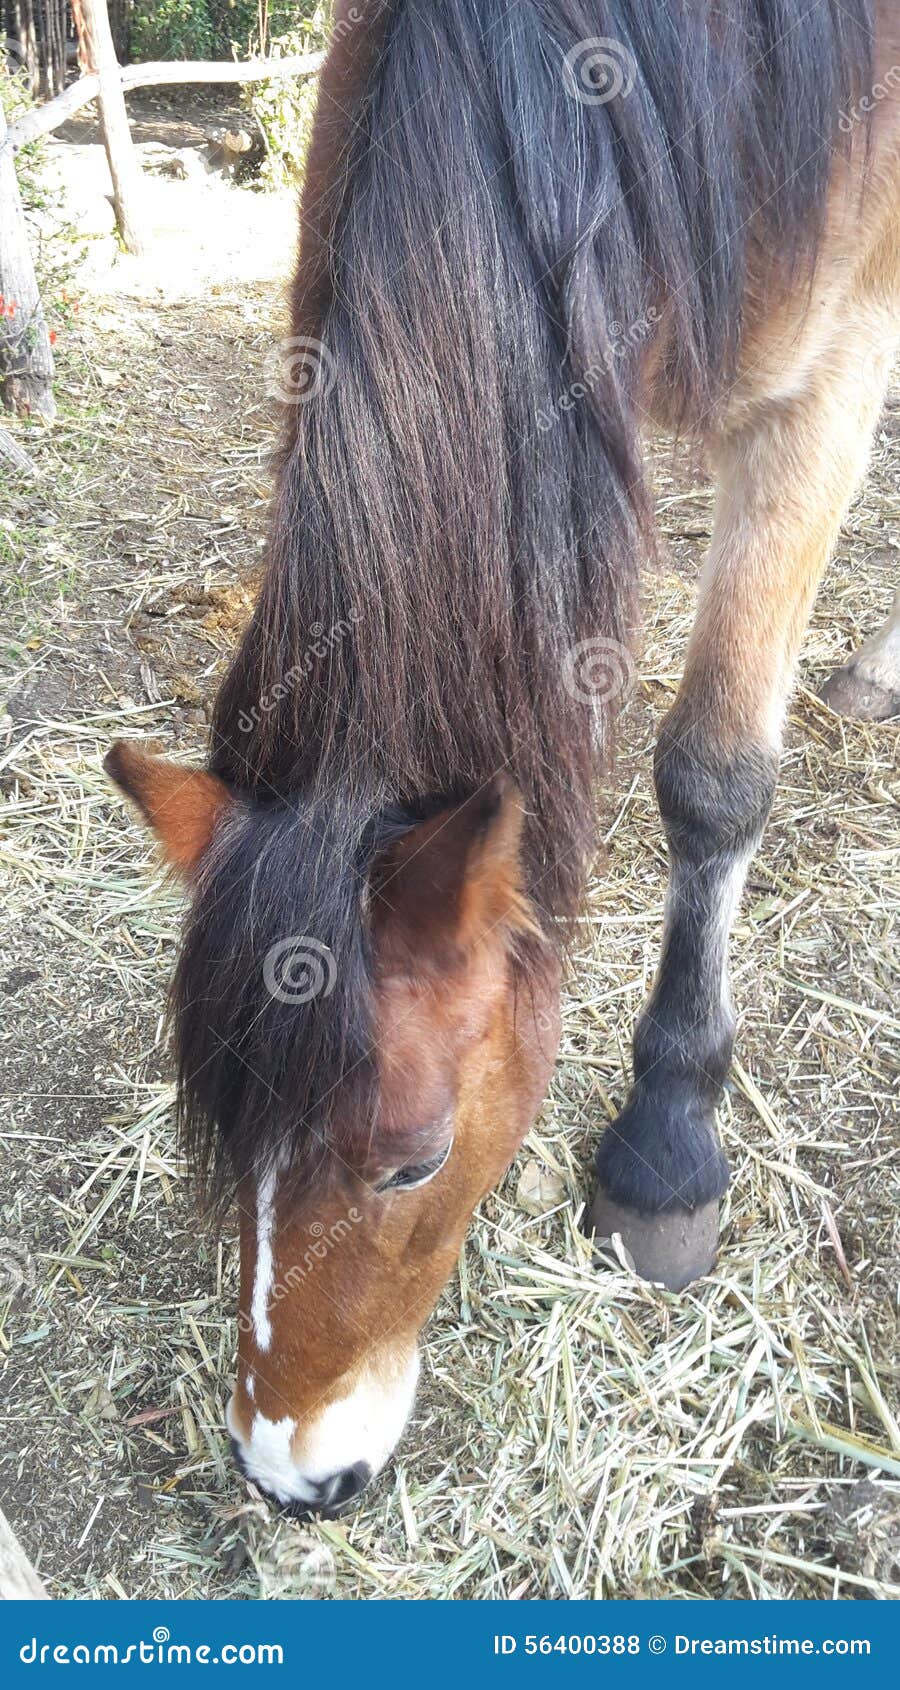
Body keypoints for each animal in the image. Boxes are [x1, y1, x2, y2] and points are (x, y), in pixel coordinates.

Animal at [105, 0, 900, 1516]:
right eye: (223, 1130)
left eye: (412, 1163)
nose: (292, 1472)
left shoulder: (829, 380)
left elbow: (714, 773)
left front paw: (664, 1149)